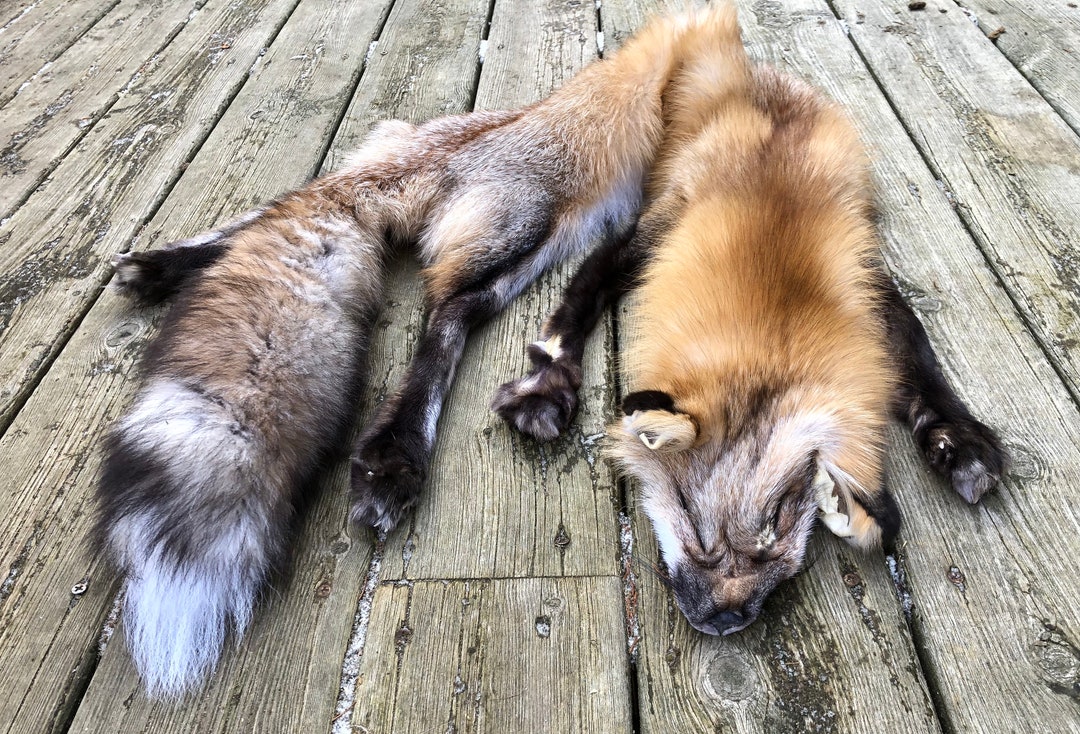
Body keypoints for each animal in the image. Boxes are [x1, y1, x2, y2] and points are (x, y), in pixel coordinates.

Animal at [97, 7, 745, 696]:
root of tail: (438, 158)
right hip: (530, 221)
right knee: (442, 310)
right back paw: (397, 453)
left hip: (523, 232)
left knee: (282, 210)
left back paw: (158, 268)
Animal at [492, 17, 1006, 635]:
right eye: (692, 524)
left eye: (773, 531)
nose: (724, 620)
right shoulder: (655, 228)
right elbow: (580, 296)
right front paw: (547, 382)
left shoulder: (867, 276)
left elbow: (921, 360)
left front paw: (955, 440)